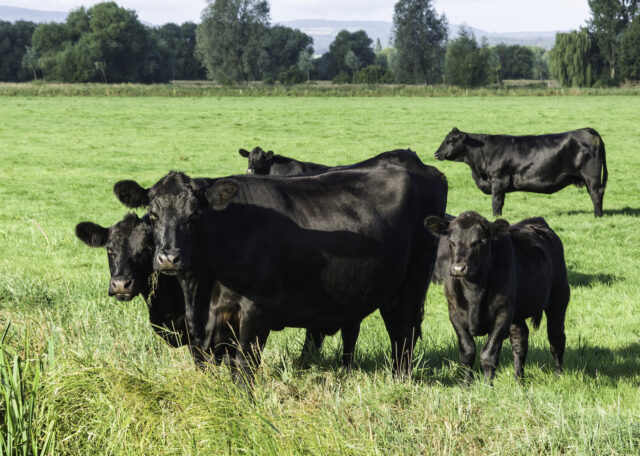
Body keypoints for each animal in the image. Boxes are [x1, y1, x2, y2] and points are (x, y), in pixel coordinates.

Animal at [114, 150, 448, 381]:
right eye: (153, 215)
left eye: (195, 214)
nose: (169, 258)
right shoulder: (202, 329)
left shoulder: (255, 311)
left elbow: (244, 369)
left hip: (411, 284)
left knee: (402, 333)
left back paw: (399, 381)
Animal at [424, 211, 570, 384]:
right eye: (450, 241)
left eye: (480, 241)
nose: (458, 268)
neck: (474, 293)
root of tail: (538, 221)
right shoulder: (454, 312)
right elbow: (467, 352)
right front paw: (466, 385)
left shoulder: (502, 313)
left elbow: (488, 355)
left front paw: (487, 386)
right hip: (517, 312)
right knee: (520, 340)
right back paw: (518, 380)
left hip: (559, 298)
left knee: (556, 337)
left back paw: (559, 375)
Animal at [434, 127, 608, 217]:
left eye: (451, 140)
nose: (436, 154)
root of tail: (589, 131)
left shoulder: (498, 180)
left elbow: (496, 202)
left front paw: (495, 217)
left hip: (591, 177)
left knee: (596, 194)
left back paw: (597, 215)